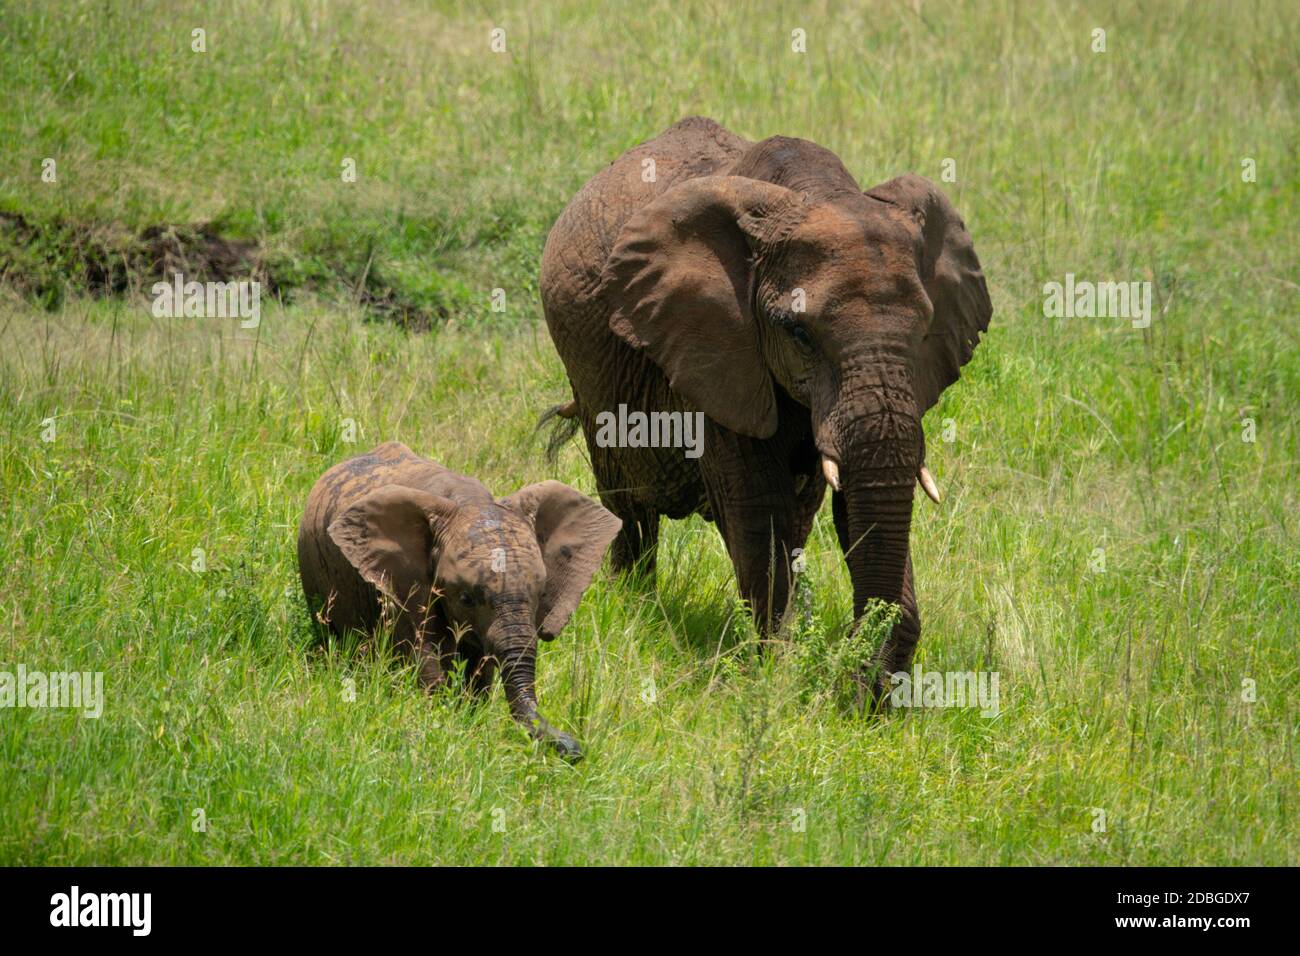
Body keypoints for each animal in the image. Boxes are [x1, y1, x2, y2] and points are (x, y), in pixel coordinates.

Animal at [297, 441, 622, 759]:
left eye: (541, 594)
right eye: (465, 597)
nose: (574, 749)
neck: (468, 501)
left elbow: (481, 670)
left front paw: (468, 717)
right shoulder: (400, 583)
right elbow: (423, 652)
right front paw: (442, 717)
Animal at [539, 116, 991, 695]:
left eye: (924, 331)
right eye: (798, 332)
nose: (860, 683)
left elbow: (851, 504)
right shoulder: (716, 345)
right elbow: (755, 503)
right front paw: (777, 674)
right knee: (629, 505)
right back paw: (631, 601)